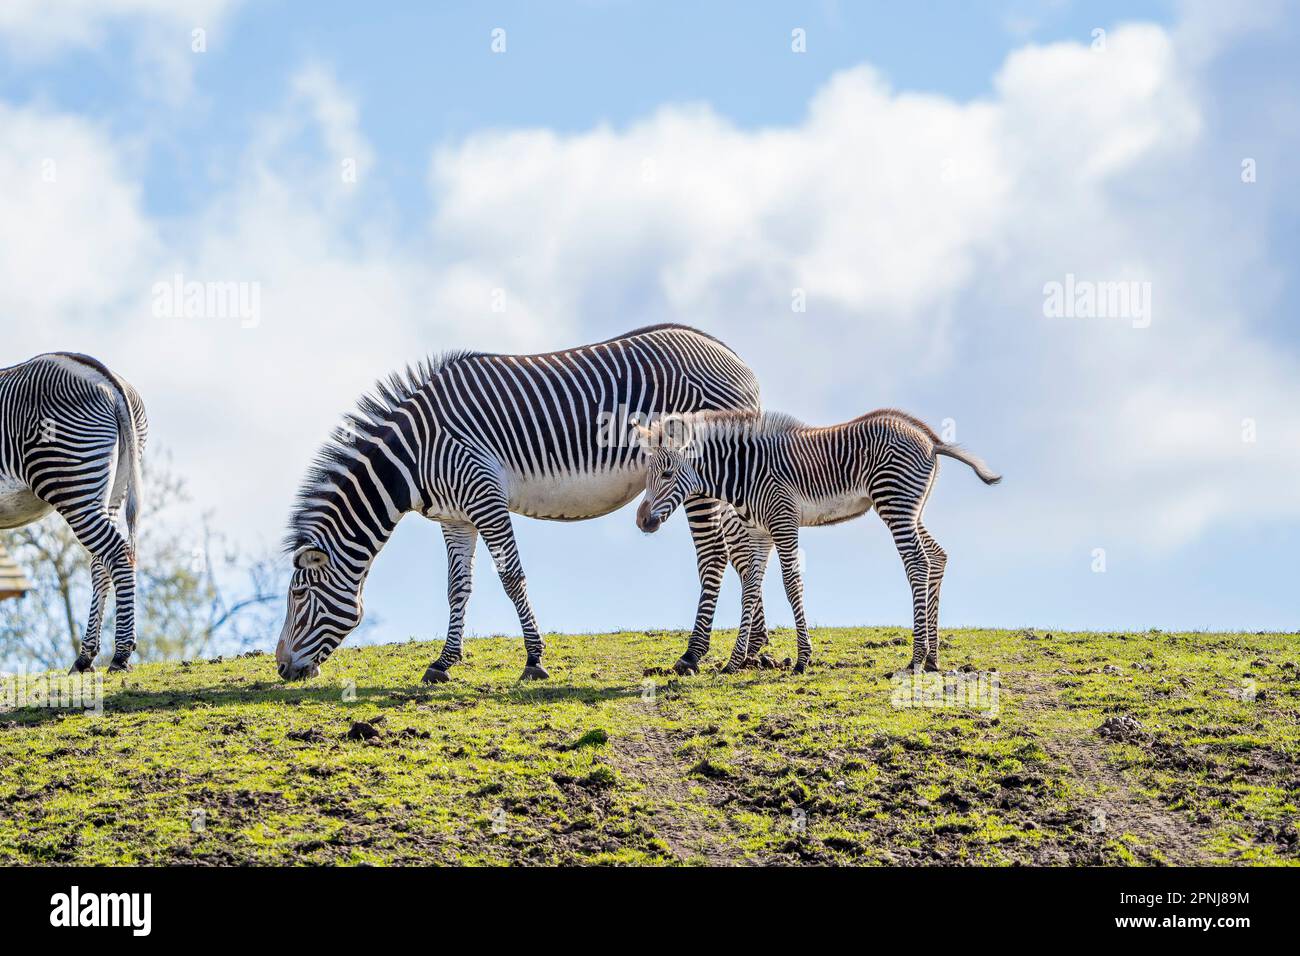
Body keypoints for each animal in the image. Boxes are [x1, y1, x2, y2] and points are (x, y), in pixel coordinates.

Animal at [0, 353, 148, 673]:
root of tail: (108, 378)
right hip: (111, 487)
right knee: (101, 563)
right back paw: (85, 657)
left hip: (73, 486)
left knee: (117, 553)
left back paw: (121, 655)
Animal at [275, 324, 773, 683]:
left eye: (298, 595)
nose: (280, 668)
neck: (413, 455)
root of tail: (737, 360)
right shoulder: (455, 516)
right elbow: (457, 587)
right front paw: (443, 663)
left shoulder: (484, 495)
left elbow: (511, 578)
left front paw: (534, 659)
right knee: (746, 552)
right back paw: (756, 650)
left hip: (700, 479)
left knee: (714, 556)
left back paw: (694, 654)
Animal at [634, 408, 1000, 673]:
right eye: (648, 475)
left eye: (667, 474)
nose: (643, 522)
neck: (744, 473)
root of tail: (929, 438)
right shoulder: (759, 533)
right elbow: (751, 587)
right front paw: (733, 663)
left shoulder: (783, 521)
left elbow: (791, 583)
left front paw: (802, 659)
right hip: (911, 508)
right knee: (937, 556)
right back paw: (933, 658)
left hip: (894, 502)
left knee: (918, 563)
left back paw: (916, 658)